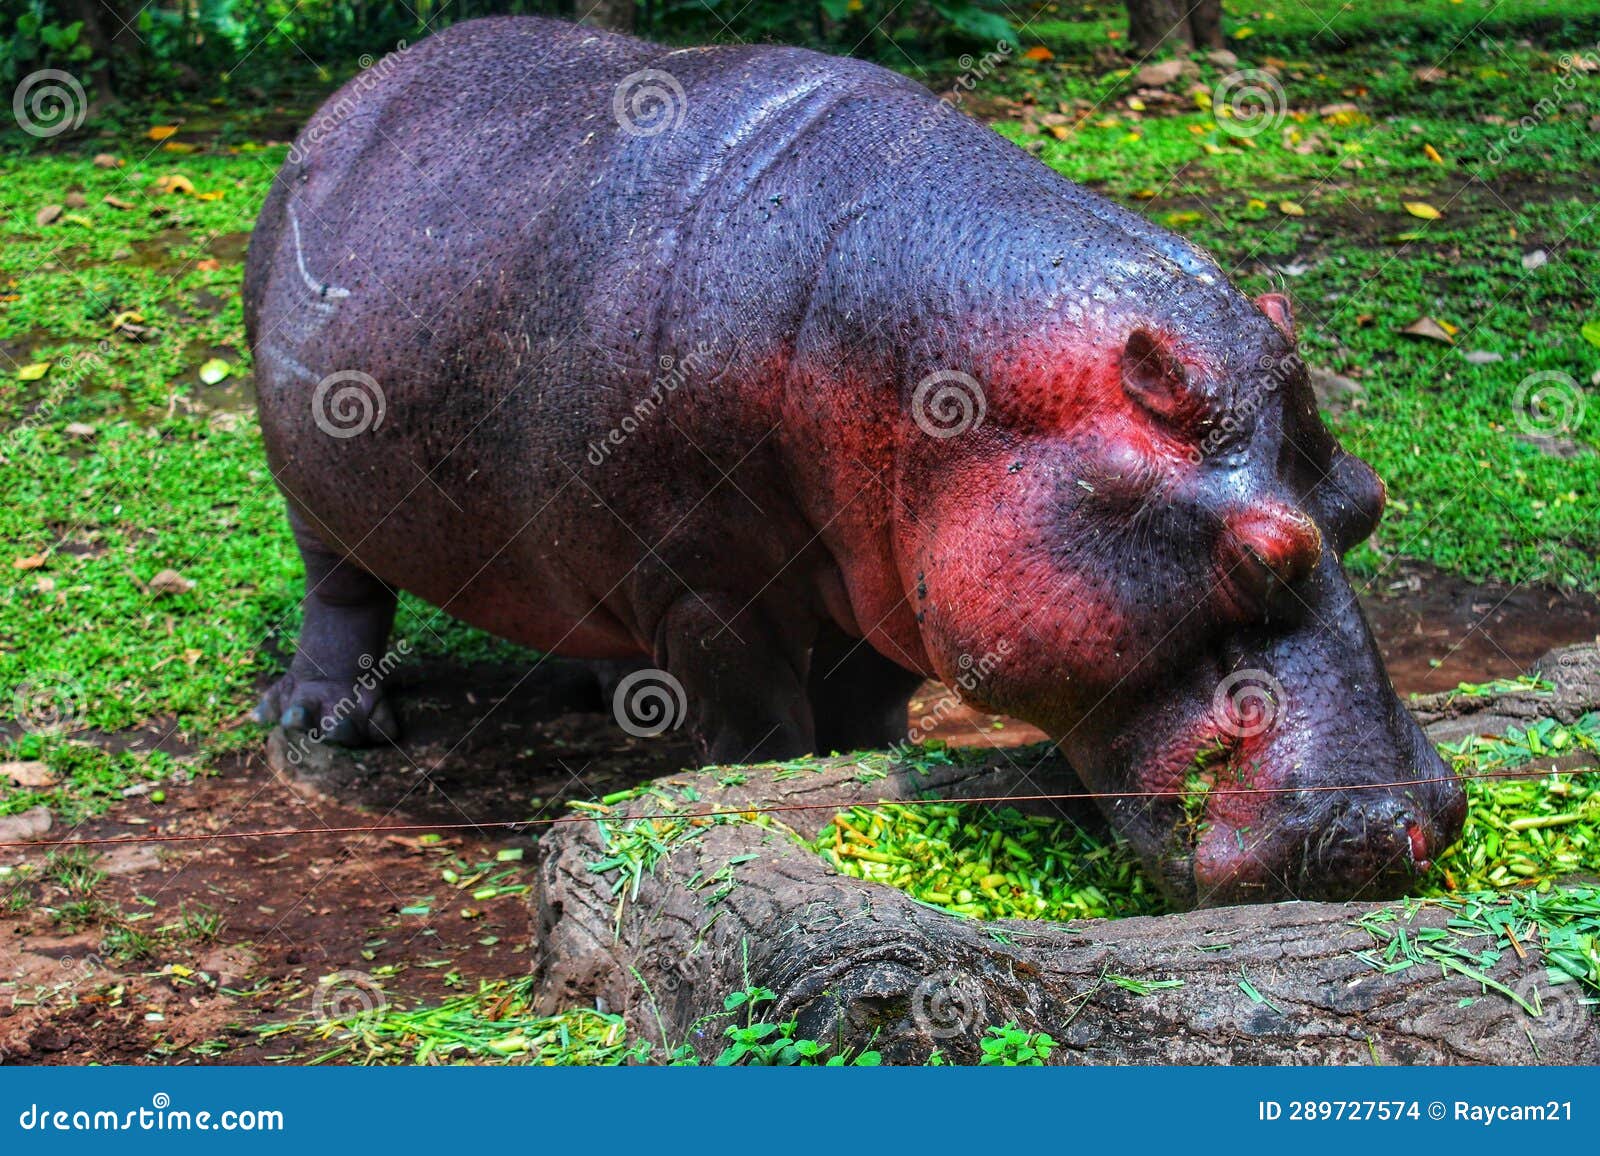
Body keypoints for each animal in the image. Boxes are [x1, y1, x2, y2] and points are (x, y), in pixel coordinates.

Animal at [243, 15, 1465, 907]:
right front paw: (766, 782)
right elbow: (757, 728)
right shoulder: (709, 593)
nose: (1410, 826)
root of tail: (349, 99)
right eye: (1260, 554)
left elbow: (873, 701)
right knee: (340, 594)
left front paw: (869, 760)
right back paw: (324, 721)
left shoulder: (894, 576)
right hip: (312, 490)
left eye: (1365, 501)